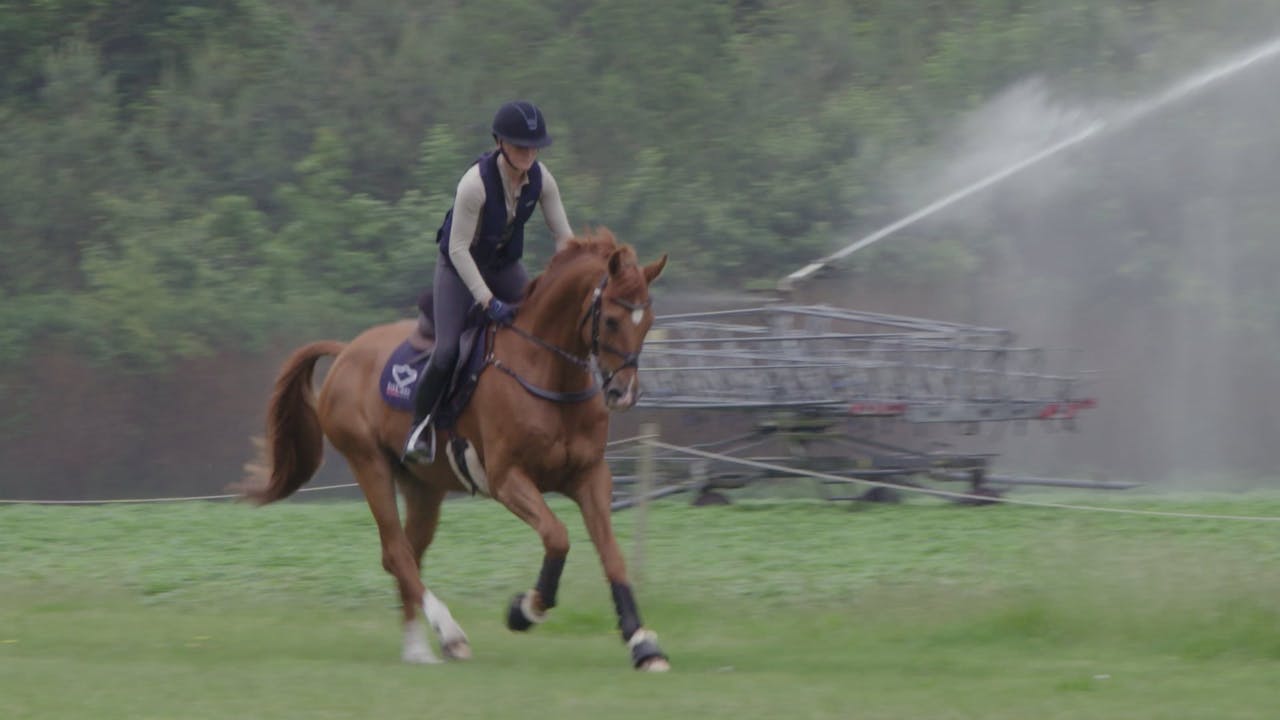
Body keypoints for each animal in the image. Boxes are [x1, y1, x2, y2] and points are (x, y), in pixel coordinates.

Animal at [238, 228, 670, 671]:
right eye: (613, 320)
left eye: (649, 322)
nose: (624, 394)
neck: (548, 372)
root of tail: (346, 351)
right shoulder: (507, 479)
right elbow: (557, 536)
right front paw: (524, 609)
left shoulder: (590, 477)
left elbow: (612, 554)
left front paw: (642, 643)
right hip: (369, 463)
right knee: (397, 552)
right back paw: (448, 633)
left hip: (423, 486)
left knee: (407, 553)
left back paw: (416, 648)